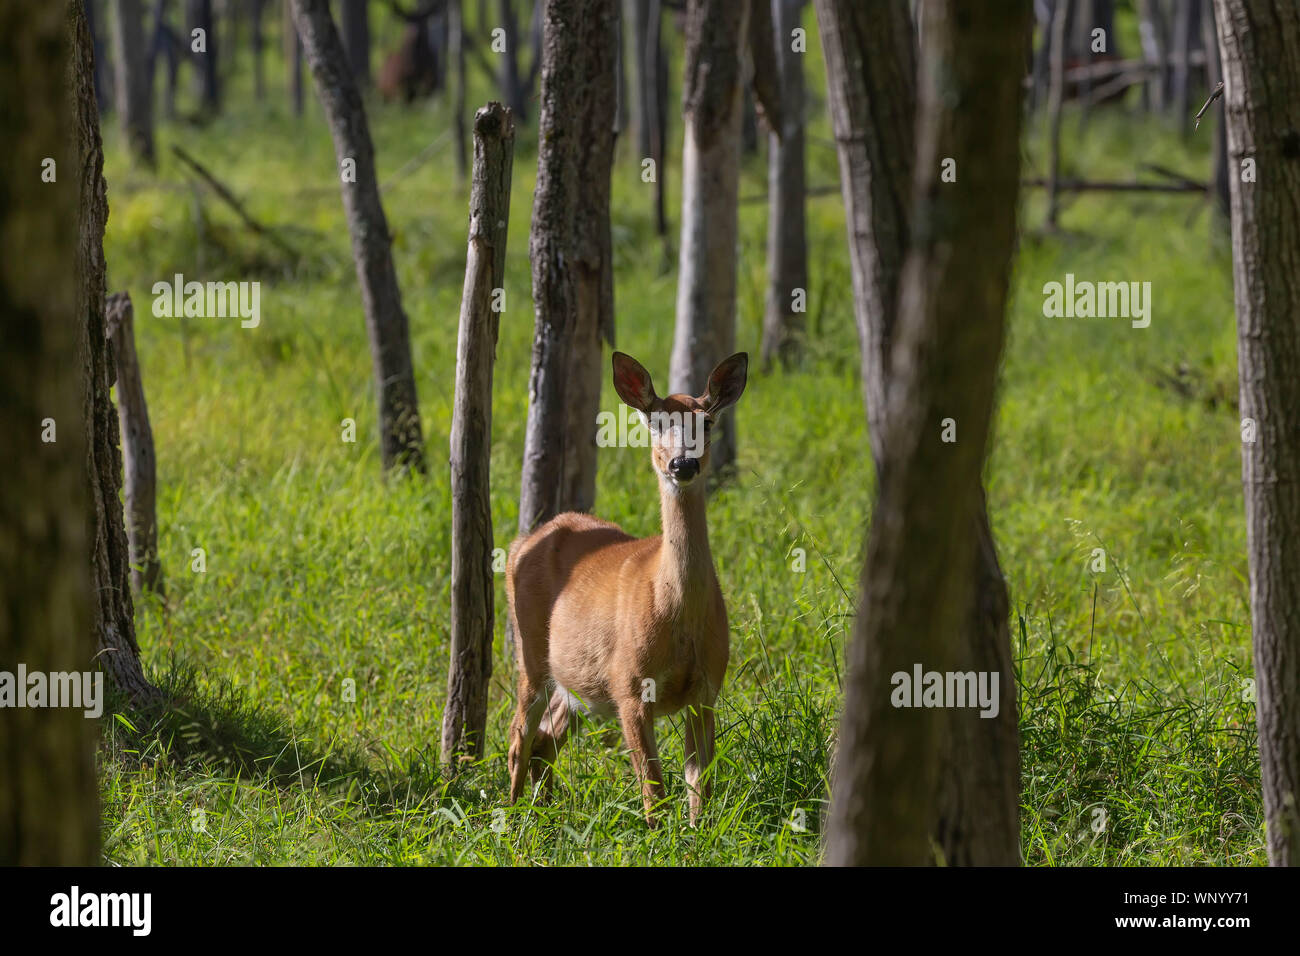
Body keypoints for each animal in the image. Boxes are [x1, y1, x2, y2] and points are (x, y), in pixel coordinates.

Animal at [505, 350, 748, 827]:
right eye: (655, 421)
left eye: (707, 422)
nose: (683, 465)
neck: (675, 614)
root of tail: (523, 542)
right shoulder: (630, 687)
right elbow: (654, 790)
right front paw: (658, 835)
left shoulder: (707, 689)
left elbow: (699, 782)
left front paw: (699, 832)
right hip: (531, 653)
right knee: (518, 735)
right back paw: (509, 816)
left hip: (578, 680)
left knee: (544, 739)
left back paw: (541, 813)